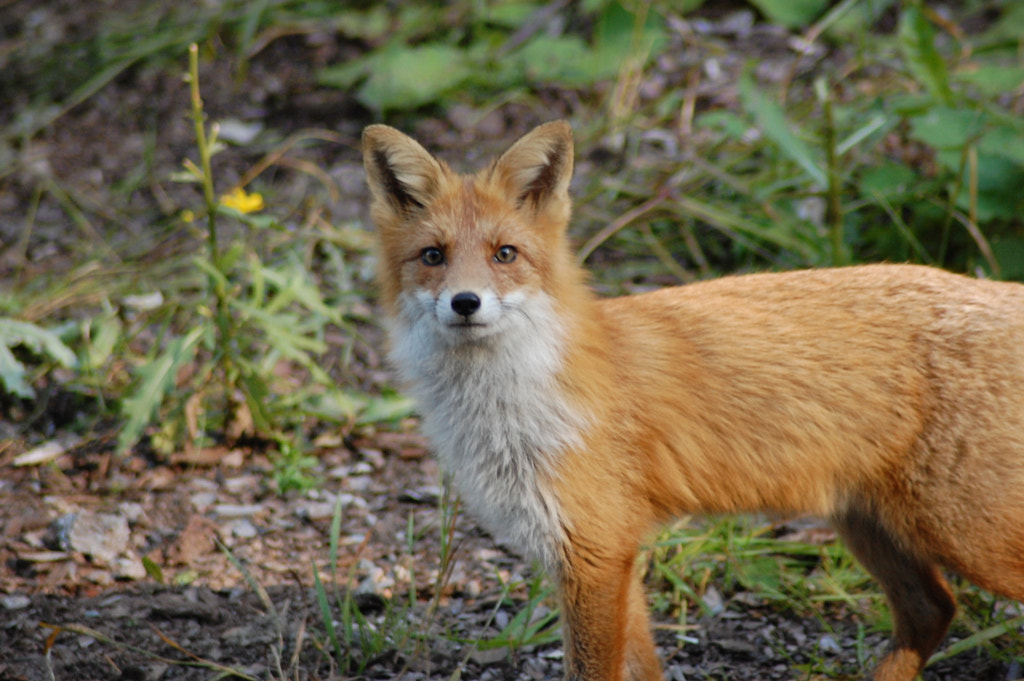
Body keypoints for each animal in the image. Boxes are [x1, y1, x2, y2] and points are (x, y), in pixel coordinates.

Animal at [361, 119, 1024, 681]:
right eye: (433, 256)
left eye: (505, 254)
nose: (465, 302)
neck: (511, 406)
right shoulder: (614, 552)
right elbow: (641, 667)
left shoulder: (594, 551)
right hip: (869, 525)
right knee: (933, 610)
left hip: (961, 535)